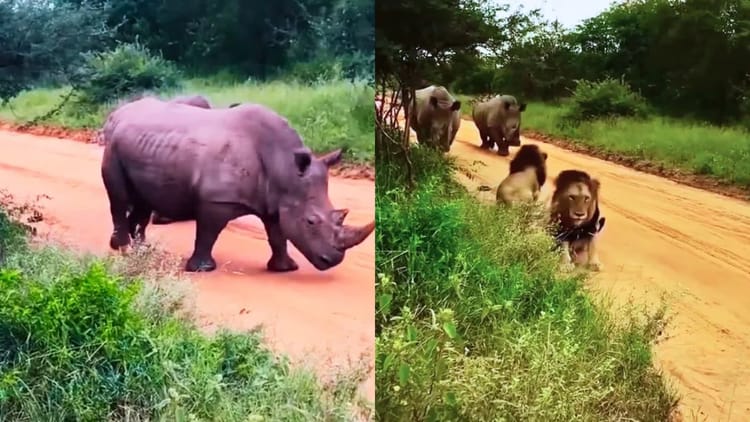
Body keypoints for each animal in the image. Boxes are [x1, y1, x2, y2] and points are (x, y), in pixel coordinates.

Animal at [101, 97, 375, 272]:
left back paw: (140, 248)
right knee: (120, 198)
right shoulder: (216, 199)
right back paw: (124, 249)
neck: (284, 167)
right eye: (310, 222)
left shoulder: (275, 202)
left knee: (143, 200)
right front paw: (202, 269)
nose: (334, 261)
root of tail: (117, 114)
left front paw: (285, 269)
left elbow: (277, 234)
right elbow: (208, 233)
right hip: (112, 147)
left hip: (144, 145)